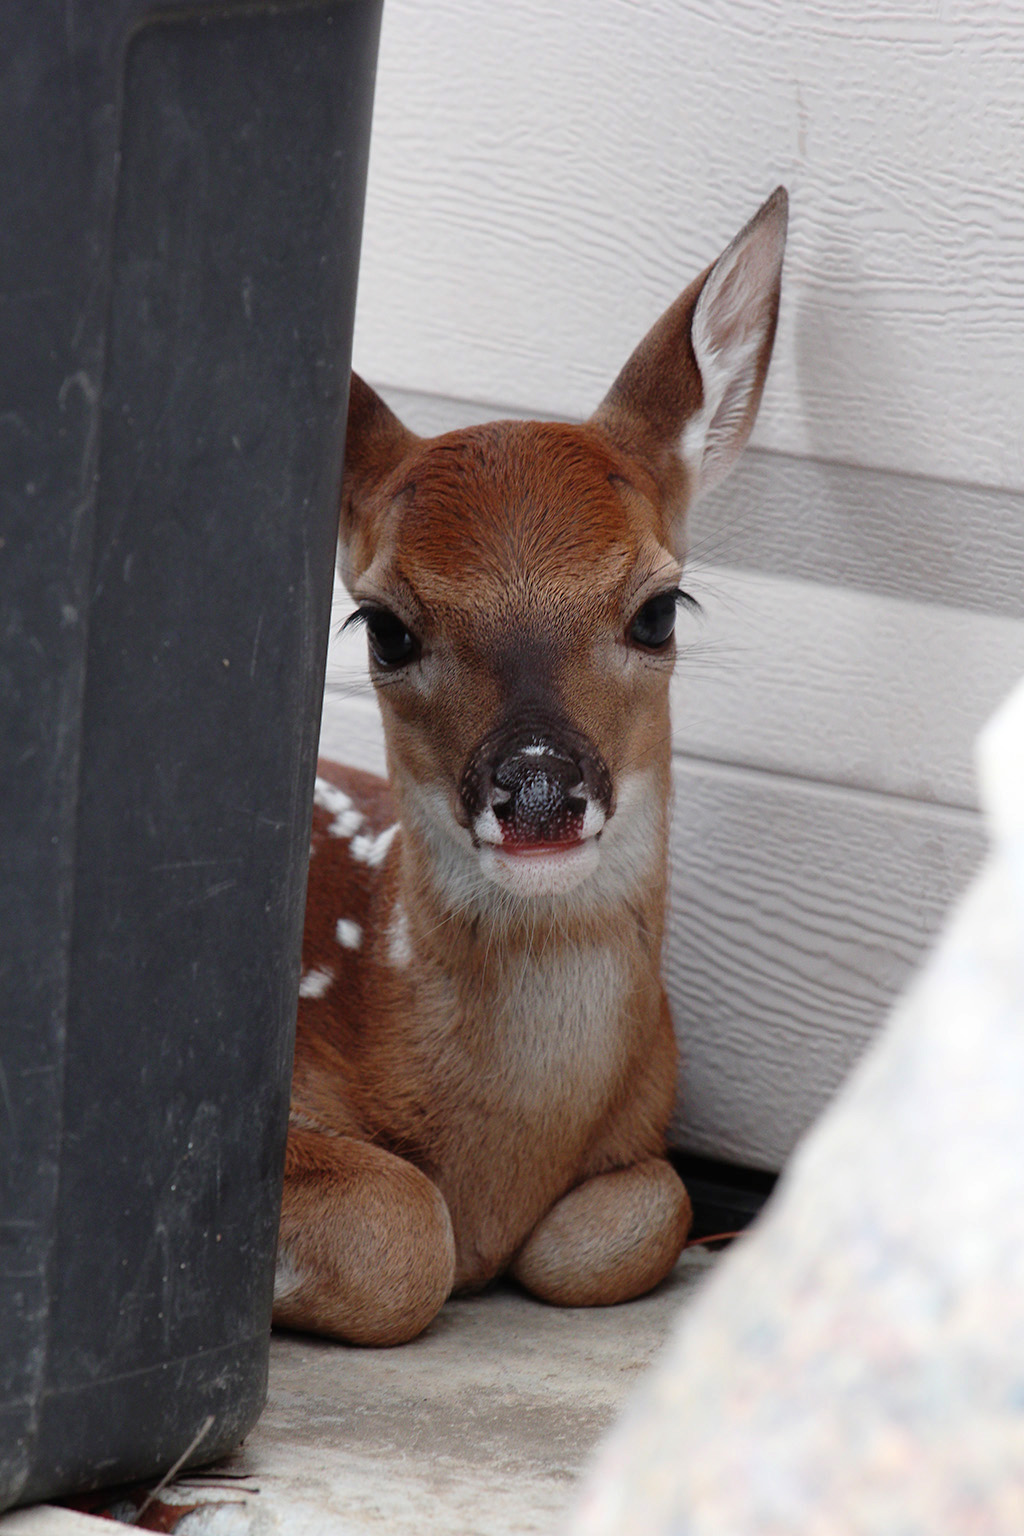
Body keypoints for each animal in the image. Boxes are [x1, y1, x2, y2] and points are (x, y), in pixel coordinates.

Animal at [273, 188, 788, 1345]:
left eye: (658, 609)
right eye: (385, 629)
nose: (542, 791)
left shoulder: (645, 1150)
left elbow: (644, 1210)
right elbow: (402, 1226)